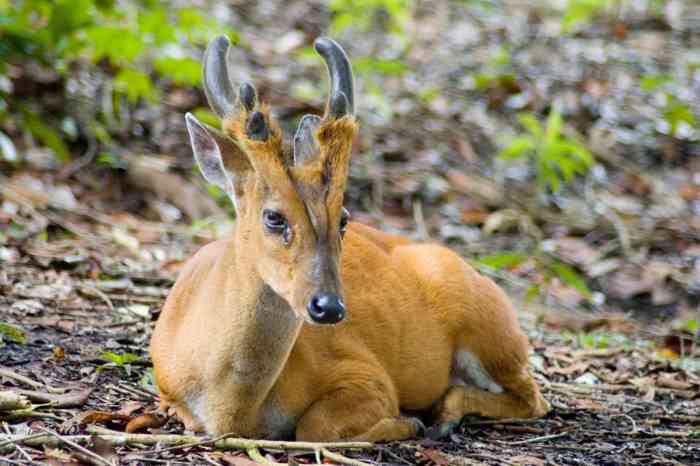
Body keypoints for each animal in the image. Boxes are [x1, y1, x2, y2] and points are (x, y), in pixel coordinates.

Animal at [149, 35, 550, 442]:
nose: (328, 307)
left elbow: (314, 427)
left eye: (343, 219)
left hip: (489, 326)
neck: (233, 409)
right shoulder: (167, 390)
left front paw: (405, 422)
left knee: (534, 398)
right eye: (274, 217)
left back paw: (442, 415)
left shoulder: (364, 372)